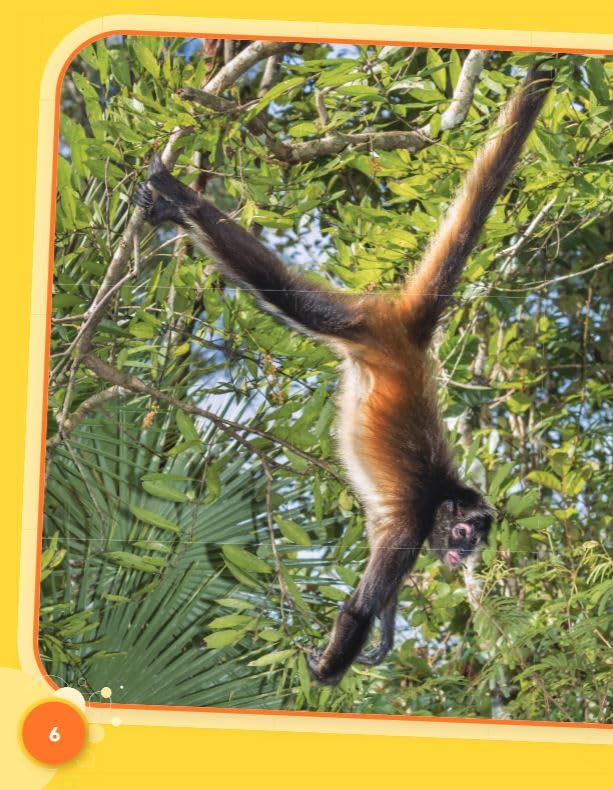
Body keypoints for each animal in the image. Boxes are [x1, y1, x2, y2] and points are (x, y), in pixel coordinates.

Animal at [132, 63, 553, 685]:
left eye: (478, 542)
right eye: (463, 532)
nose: (463, 553)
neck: (441, 500)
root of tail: (407, 336)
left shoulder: (394, 529)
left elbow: (380, 596)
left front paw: (384, 638)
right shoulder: (411, 527)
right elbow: (357, 608)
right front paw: (328, 670)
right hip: (357, 321)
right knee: (280, 287)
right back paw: (179, 199)